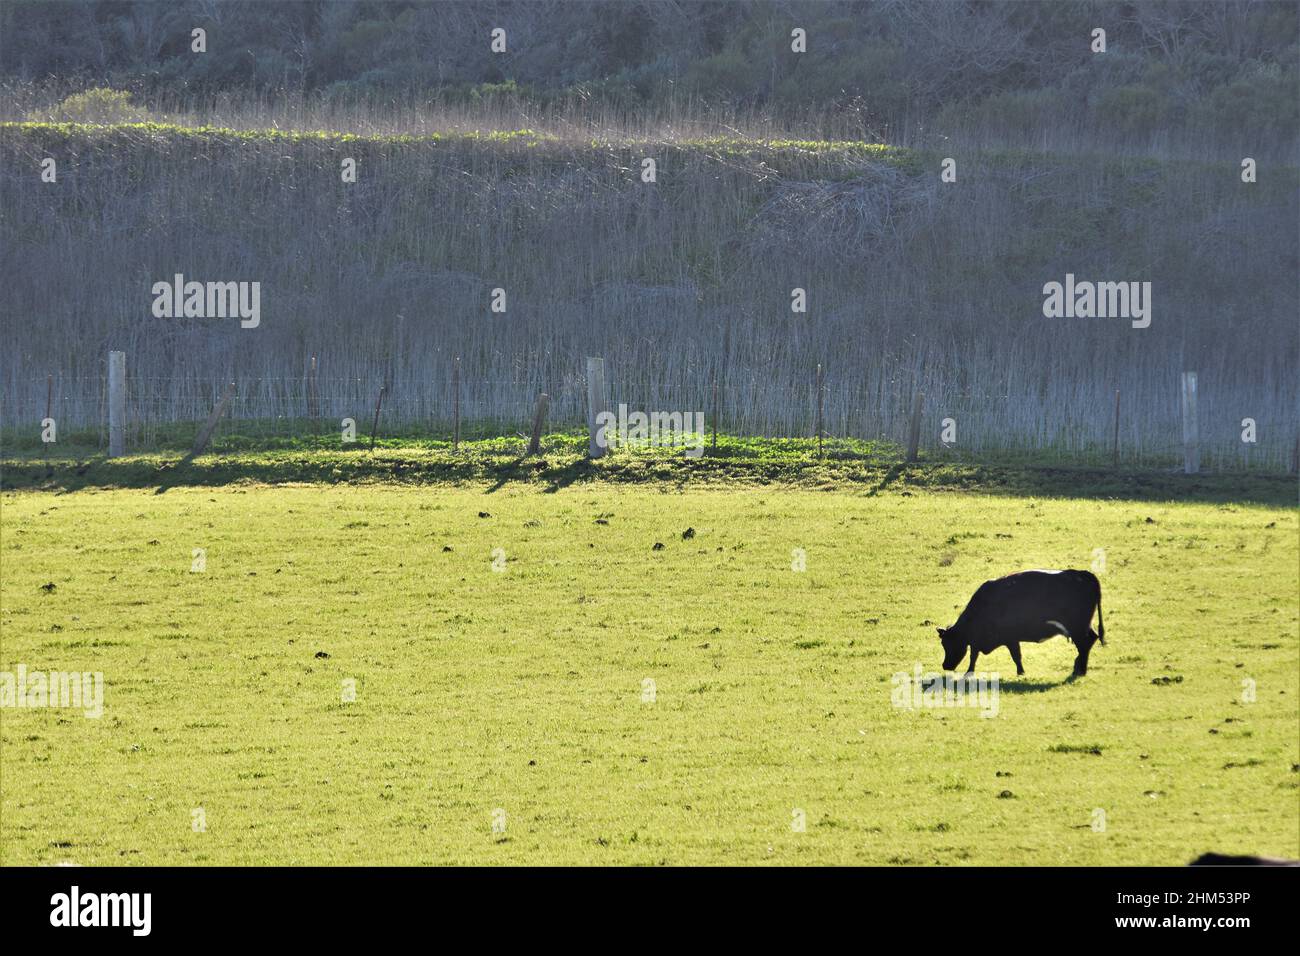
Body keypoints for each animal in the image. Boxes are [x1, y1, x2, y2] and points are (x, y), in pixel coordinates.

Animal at [937, 569, 1105, 677]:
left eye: (948, 644)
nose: (945, 665)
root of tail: (1084, 574)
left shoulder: (1008, 639)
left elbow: (1014, 656)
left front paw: (1020, 672)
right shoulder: (982, 641)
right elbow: (975, 655)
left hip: (1078, 628)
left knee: (1084, 644)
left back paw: (1080, 669)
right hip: (1084, 627)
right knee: (1091, 640)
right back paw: (1078, 667)